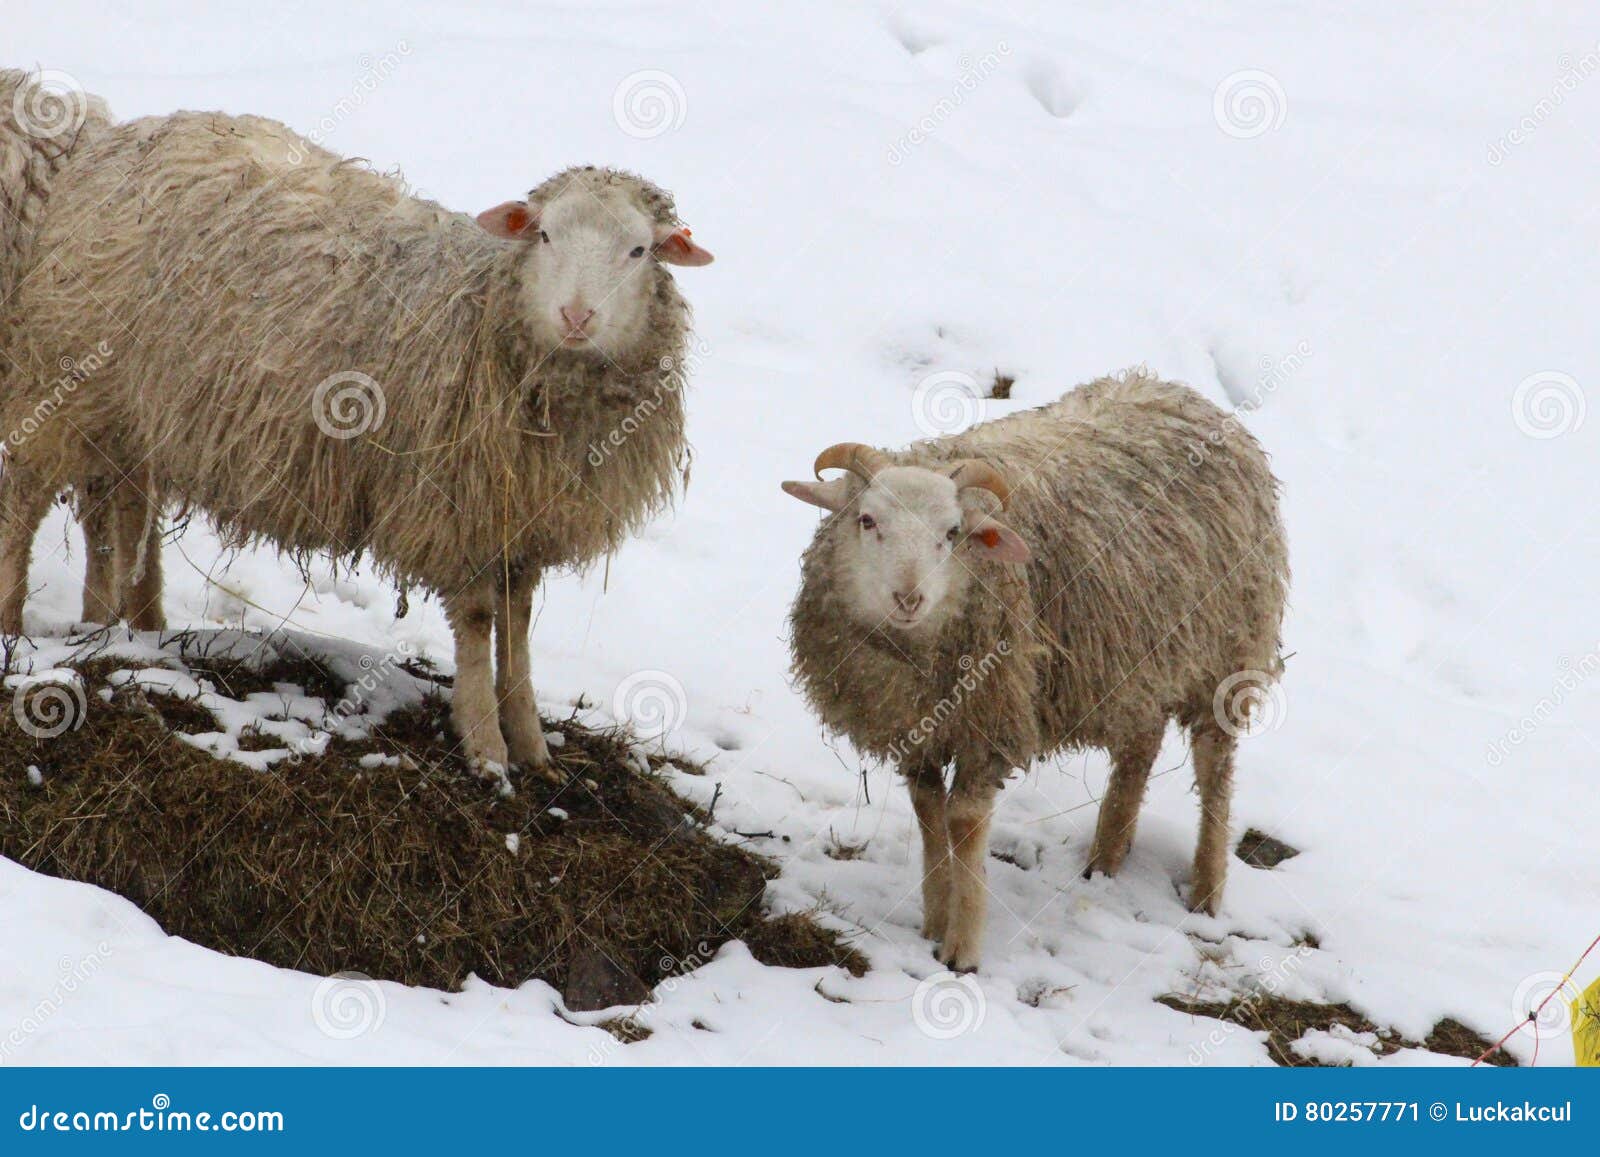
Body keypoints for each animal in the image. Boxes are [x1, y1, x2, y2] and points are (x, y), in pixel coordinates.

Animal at [0, 106, 713, 786]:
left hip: (140, 408)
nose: (576, 317)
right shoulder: (453, 509)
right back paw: (14, 622)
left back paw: (128, 624)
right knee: (27, 497)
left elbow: (518, 624)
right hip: (66, 379)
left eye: (639, 251)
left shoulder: (520, 519)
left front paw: (531, 743)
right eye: (544, 235)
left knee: (122, 510)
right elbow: (479, 619)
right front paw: (485, 748)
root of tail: (123, 137)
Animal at [782, 369, 1288, 970]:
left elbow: (963, 822)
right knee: (1139, 748)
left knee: (1215, 768)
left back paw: (1207, 891)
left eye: (951, 533)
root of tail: (1181, 393)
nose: (909, 597)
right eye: (867, 520)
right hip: (1136, 662)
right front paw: (933, 918)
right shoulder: (916, 725)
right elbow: (929, 814)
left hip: (1224, 655)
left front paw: (962, 947)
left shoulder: (992, 716)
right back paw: (1105, 860)